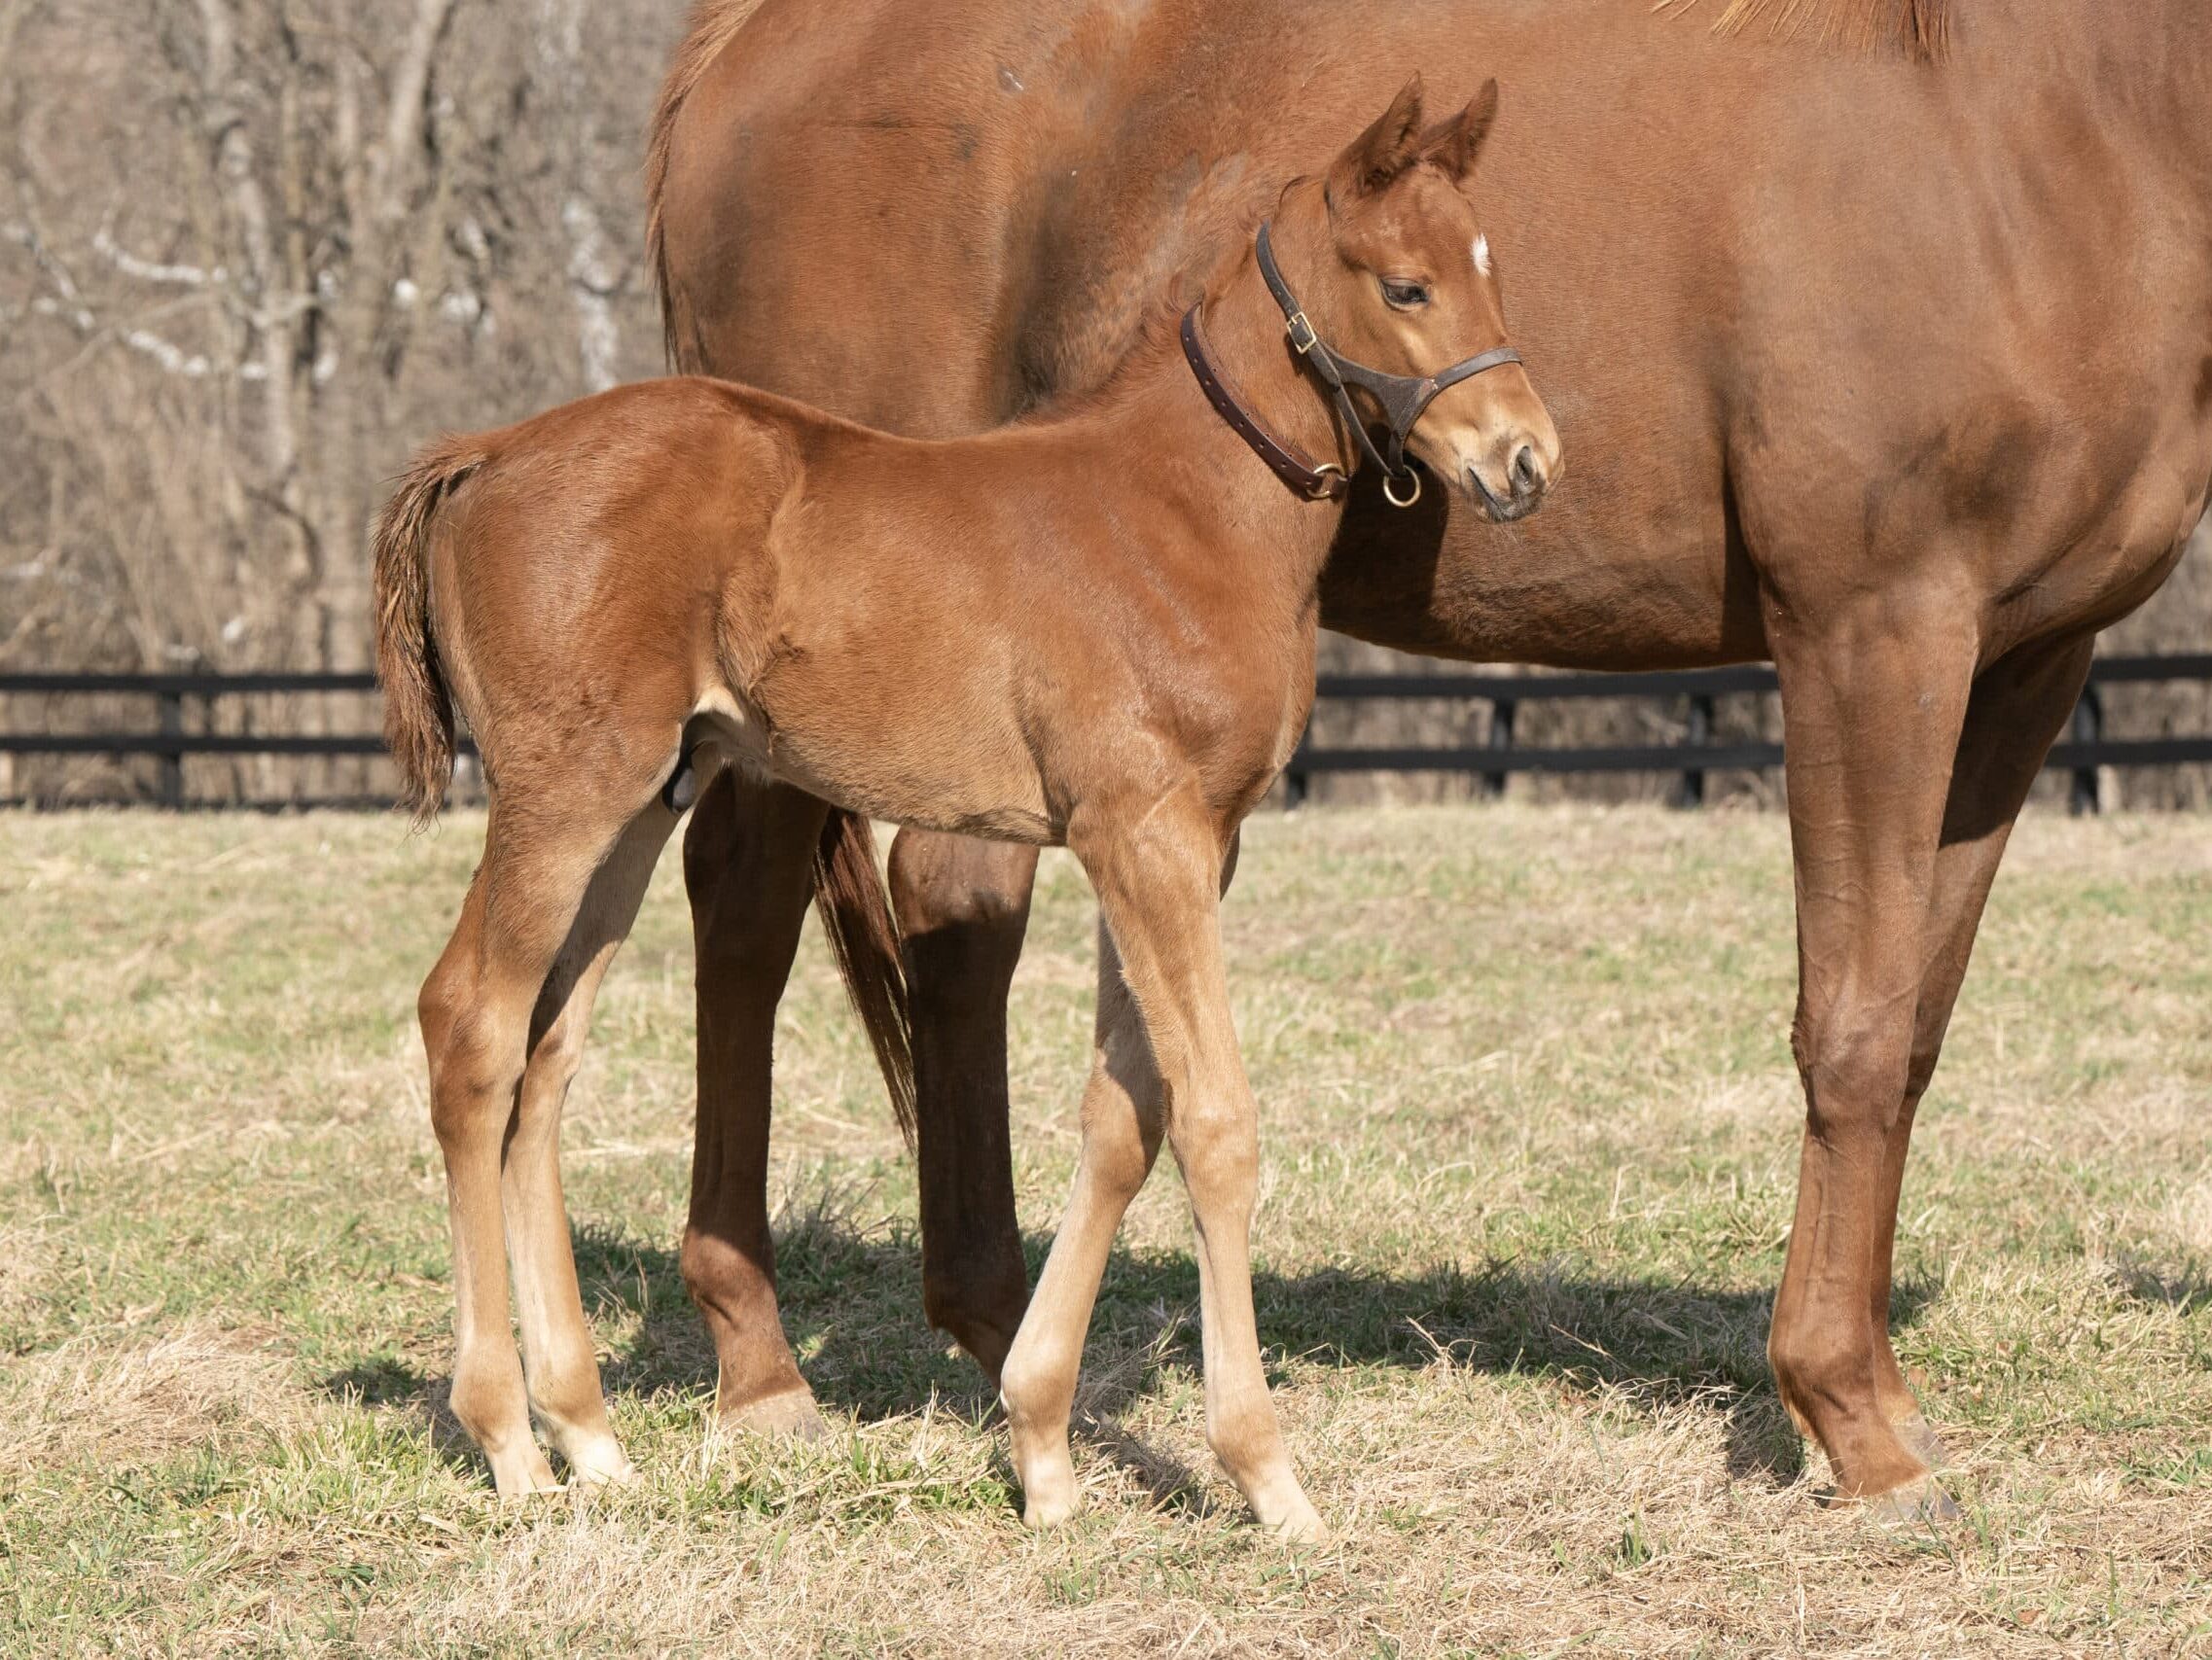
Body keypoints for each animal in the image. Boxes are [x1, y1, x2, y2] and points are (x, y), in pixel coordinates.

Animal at [373, 81, 1557, 1537]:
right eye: (1404, 284)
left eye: (1490, 266)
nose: (1526, 461)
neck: (1178, 509)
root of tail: (484, 453)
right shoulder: (1143, 836)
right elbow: (1215, 1123)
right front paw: (1266, 1474)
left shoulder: (1183, 847)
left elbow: (1124, 1118)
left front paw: (1043, 1444)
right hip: (560, 798)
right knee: (473, 1027)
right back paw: (507, 1439)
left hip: (636, 807)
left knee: (547, 1057)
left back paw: (589, 1432)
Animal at [648, 0, 2212, 1524]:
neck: (2032, 127)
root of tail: (745, 38)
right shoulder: (1870, 625)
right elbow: (1853, 1023)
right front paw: (1847, 1419)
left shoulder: (2025, 662)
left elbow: (1917, 1026)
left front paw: (1876, 1397)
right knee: (747, 908)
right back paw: (767, 1368)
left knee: (949, 913)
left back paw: (1007, 1349)